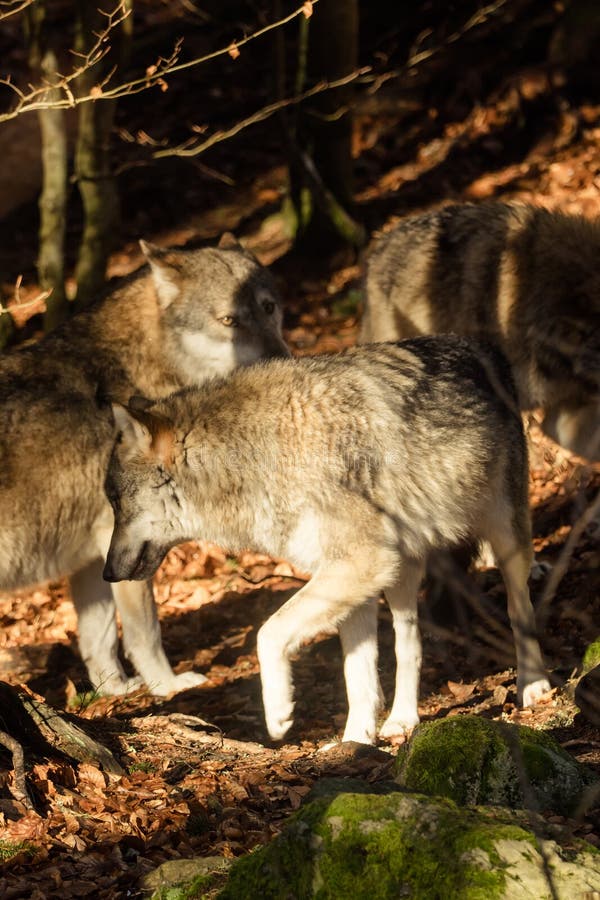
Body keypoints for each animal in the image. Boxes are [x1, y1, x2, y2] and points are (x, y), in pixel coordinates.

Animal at [0, 235, 289, 696]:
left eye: (269, 308)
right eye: (228, 320)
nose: (285, 358)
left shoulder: (90, 560)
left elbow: (99, 640)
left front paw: (114, 693)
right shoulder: (120, 540)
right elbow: (145, 633)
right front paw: (168, 687)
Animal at [103, 336, 550, 744]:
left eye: (115, 501)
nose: (107, 573)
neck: (258, 455)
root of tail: (481, 344)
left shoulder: (358, 564)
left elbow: (268, 634)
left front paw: (279, 713)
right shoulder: (356, 580)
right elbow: (357, 674)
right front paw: (354, 742)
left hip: (505, 538)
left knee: (520, 610)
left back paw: (533, 685)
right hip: (400, 573)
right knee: (410, 643)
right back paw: (402, 720)